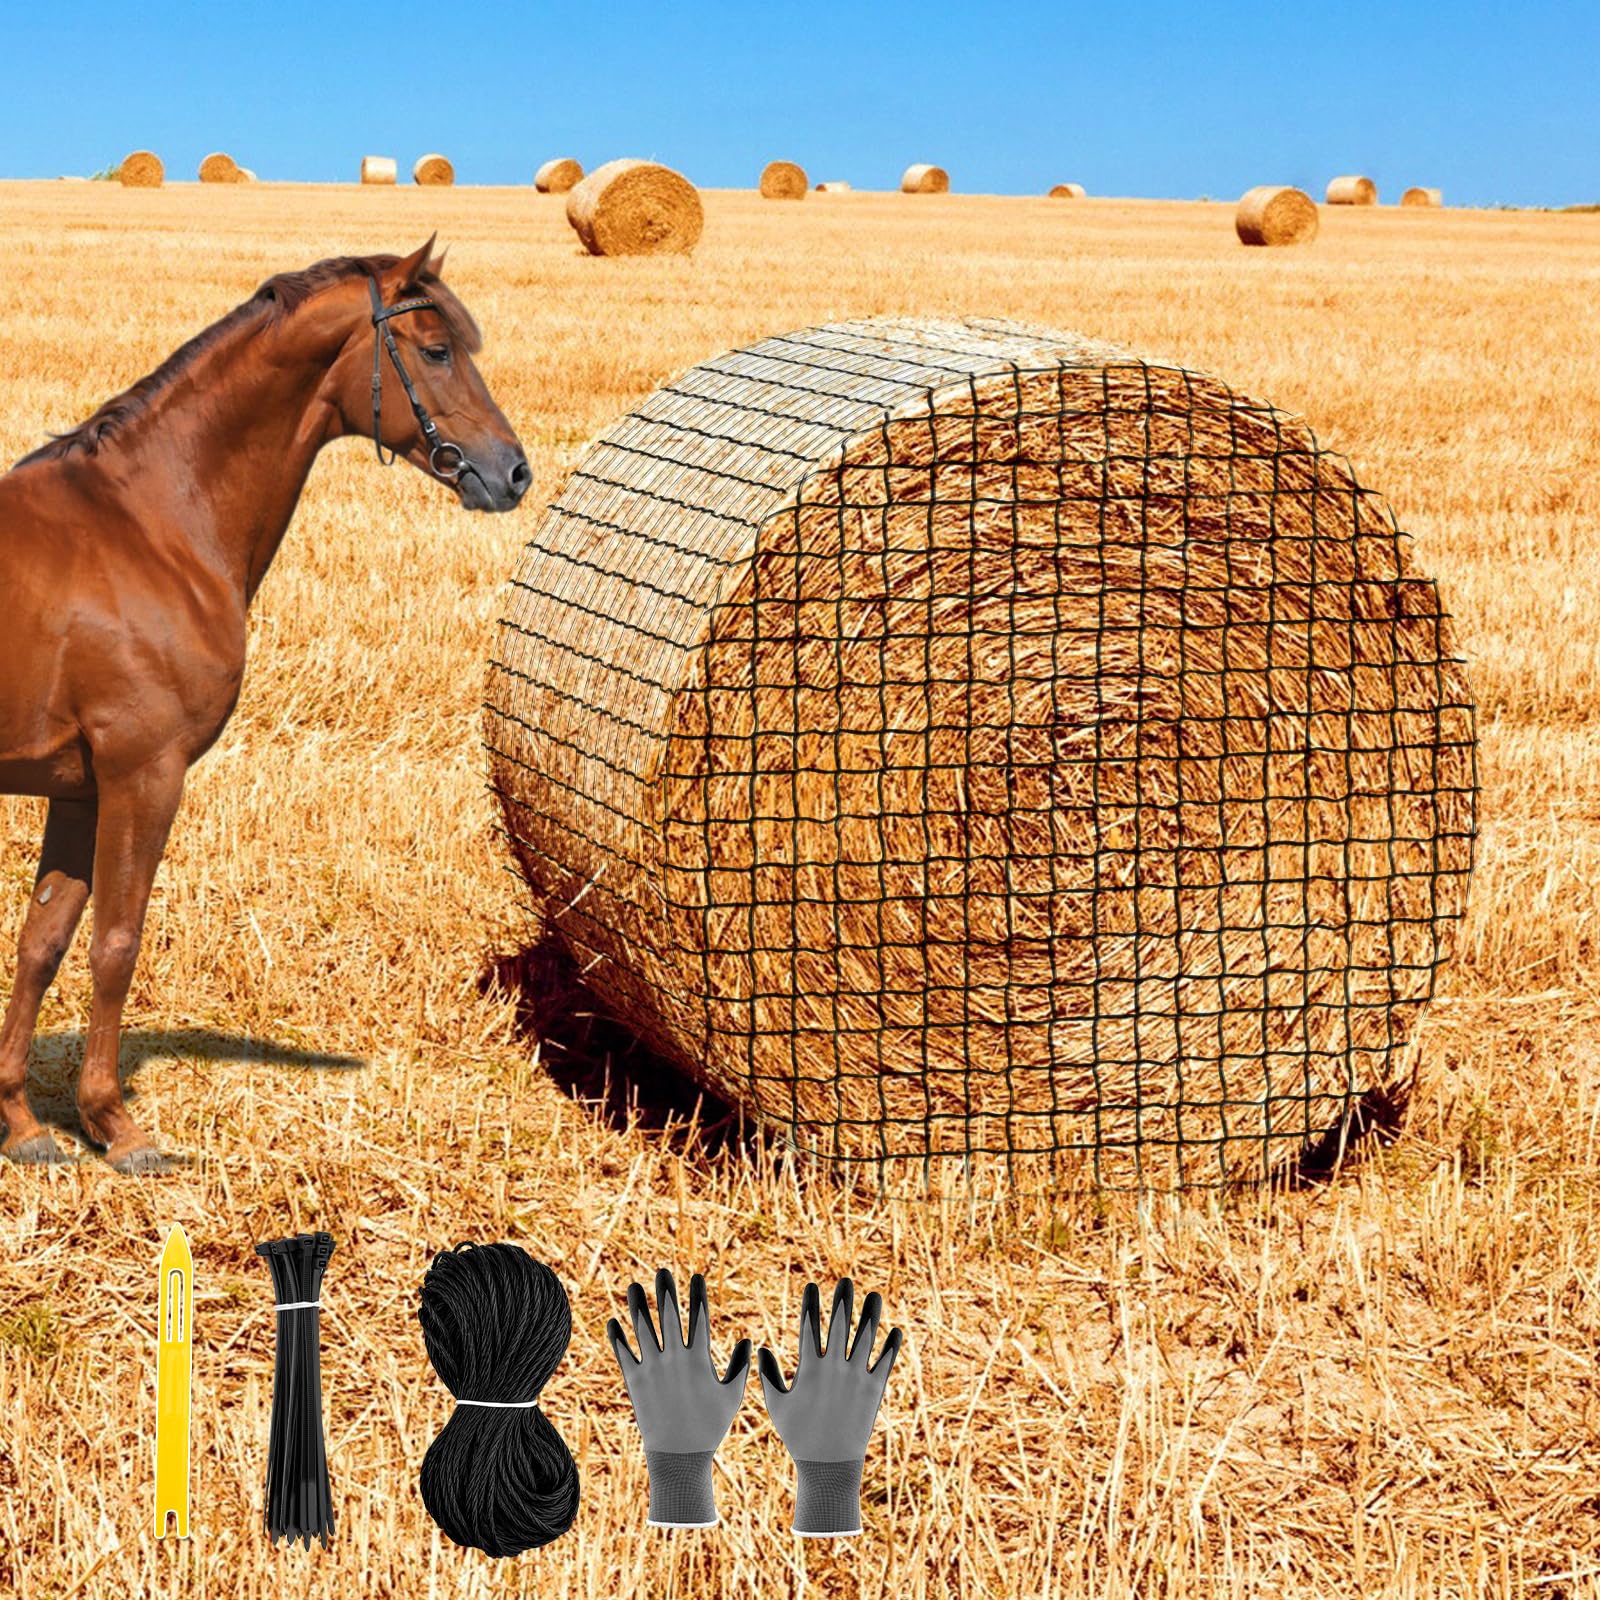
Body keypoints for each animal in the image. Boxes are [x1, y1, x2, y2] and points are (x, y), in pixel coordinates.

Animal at [0, 237, 528, 1171]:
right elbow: (115, 944)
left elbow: (43, 941)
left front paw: (24, 1123)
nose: (512, 472)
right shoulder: (144, 775)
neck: (150, 523)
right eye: (436, 350)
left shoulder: (79, 788)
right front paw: (115, 1125)